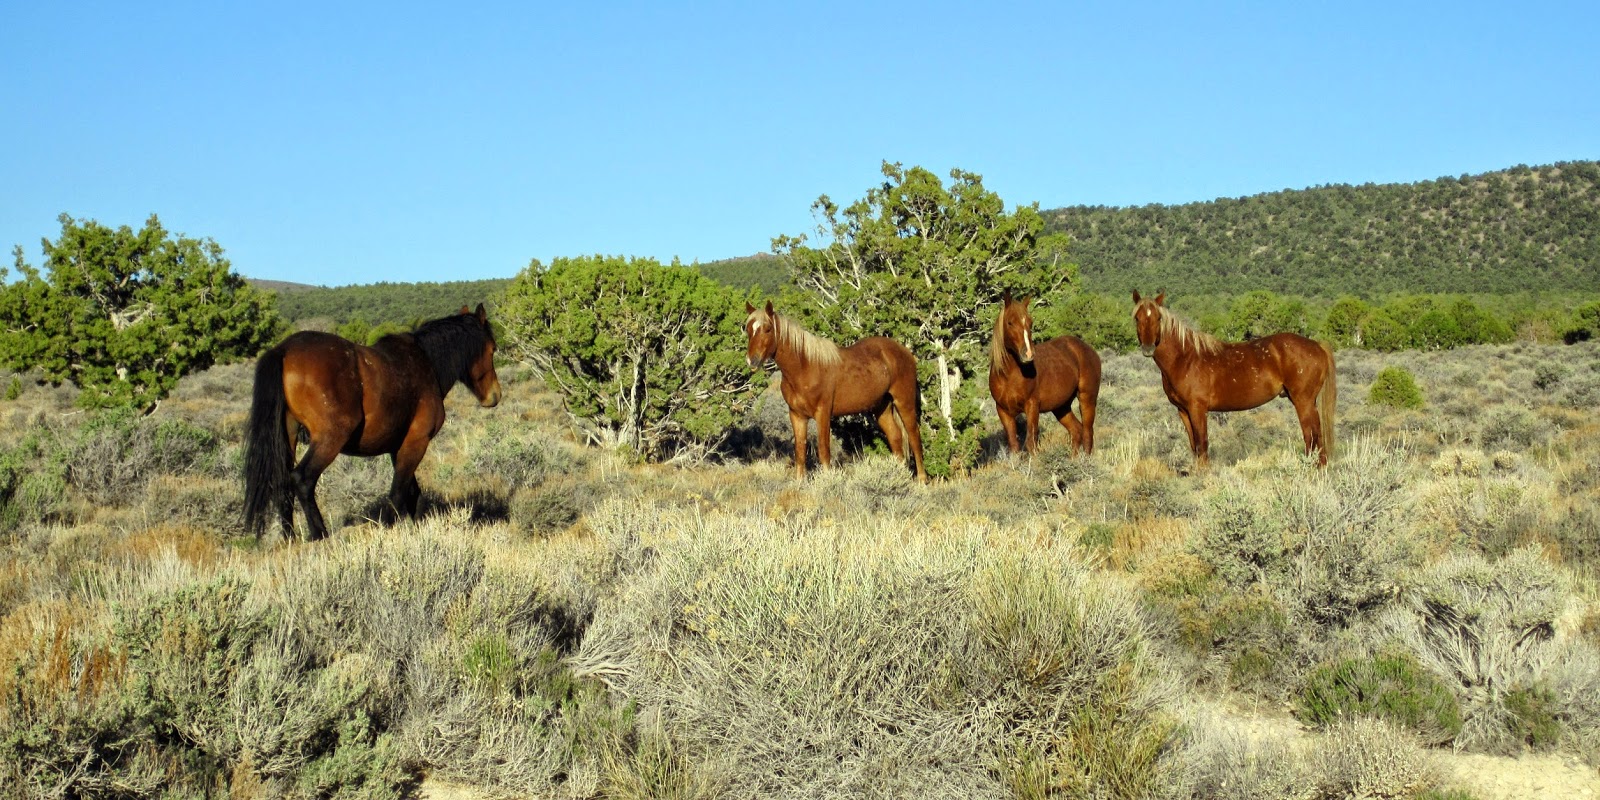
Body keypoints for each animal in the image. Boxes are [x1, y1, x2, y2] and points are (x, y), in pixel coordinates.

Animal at [243, 304, 502, 541]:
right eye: (492, 349)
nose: (495, 396)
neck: (425, 364)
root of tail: (283, 350)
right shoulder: (417, 442)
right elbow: (398, 494)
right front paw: (391, 529)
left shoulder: (399, 447)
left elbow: (413, 494)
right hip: (330, 439)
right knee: (302, 479)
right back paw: (319, 534)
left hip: (288, 436)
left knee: (282, 483)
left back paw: (290, 537)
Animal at [744, 300, 926, 482]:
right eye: (748, 329)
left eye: (768, 329)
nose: (752, 360)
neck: (805, 368)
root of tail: (905, 352)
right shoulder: (796, 415)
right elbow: (800, 451)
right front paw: (800, 483)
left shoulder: (823, 414)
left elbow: (824, 450)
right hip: (882, 407)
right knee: (896, 437)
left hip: (904, 402)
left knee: (914, 437)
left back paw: (922, 481)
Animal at [989, 291, 1102, 455]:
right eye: (1010, 322)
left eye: (1030, 323)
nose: (1028, 354)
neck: (1008, 376)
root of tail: (1088, 349)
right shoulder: (1003, 411)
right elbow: (1014, 446)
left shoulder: (1032, 407)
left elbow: (1031, 443)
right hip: (1061, 407)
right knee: (1076, 431)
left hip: (1087, 399)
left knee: (1087, 433)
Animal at [1132, 291, 1335, 467]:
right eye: (1137, 318)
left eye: (1158, 318)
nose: (1148, 348)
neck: (1185, 358)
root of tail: (1317, 345)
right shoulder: (1183, 411)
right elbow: (1193, 445)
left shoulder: (1198, 409)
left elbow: (1202, 442)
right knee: (1318, 435)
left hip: (1303, 401)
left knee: (1311, 435)